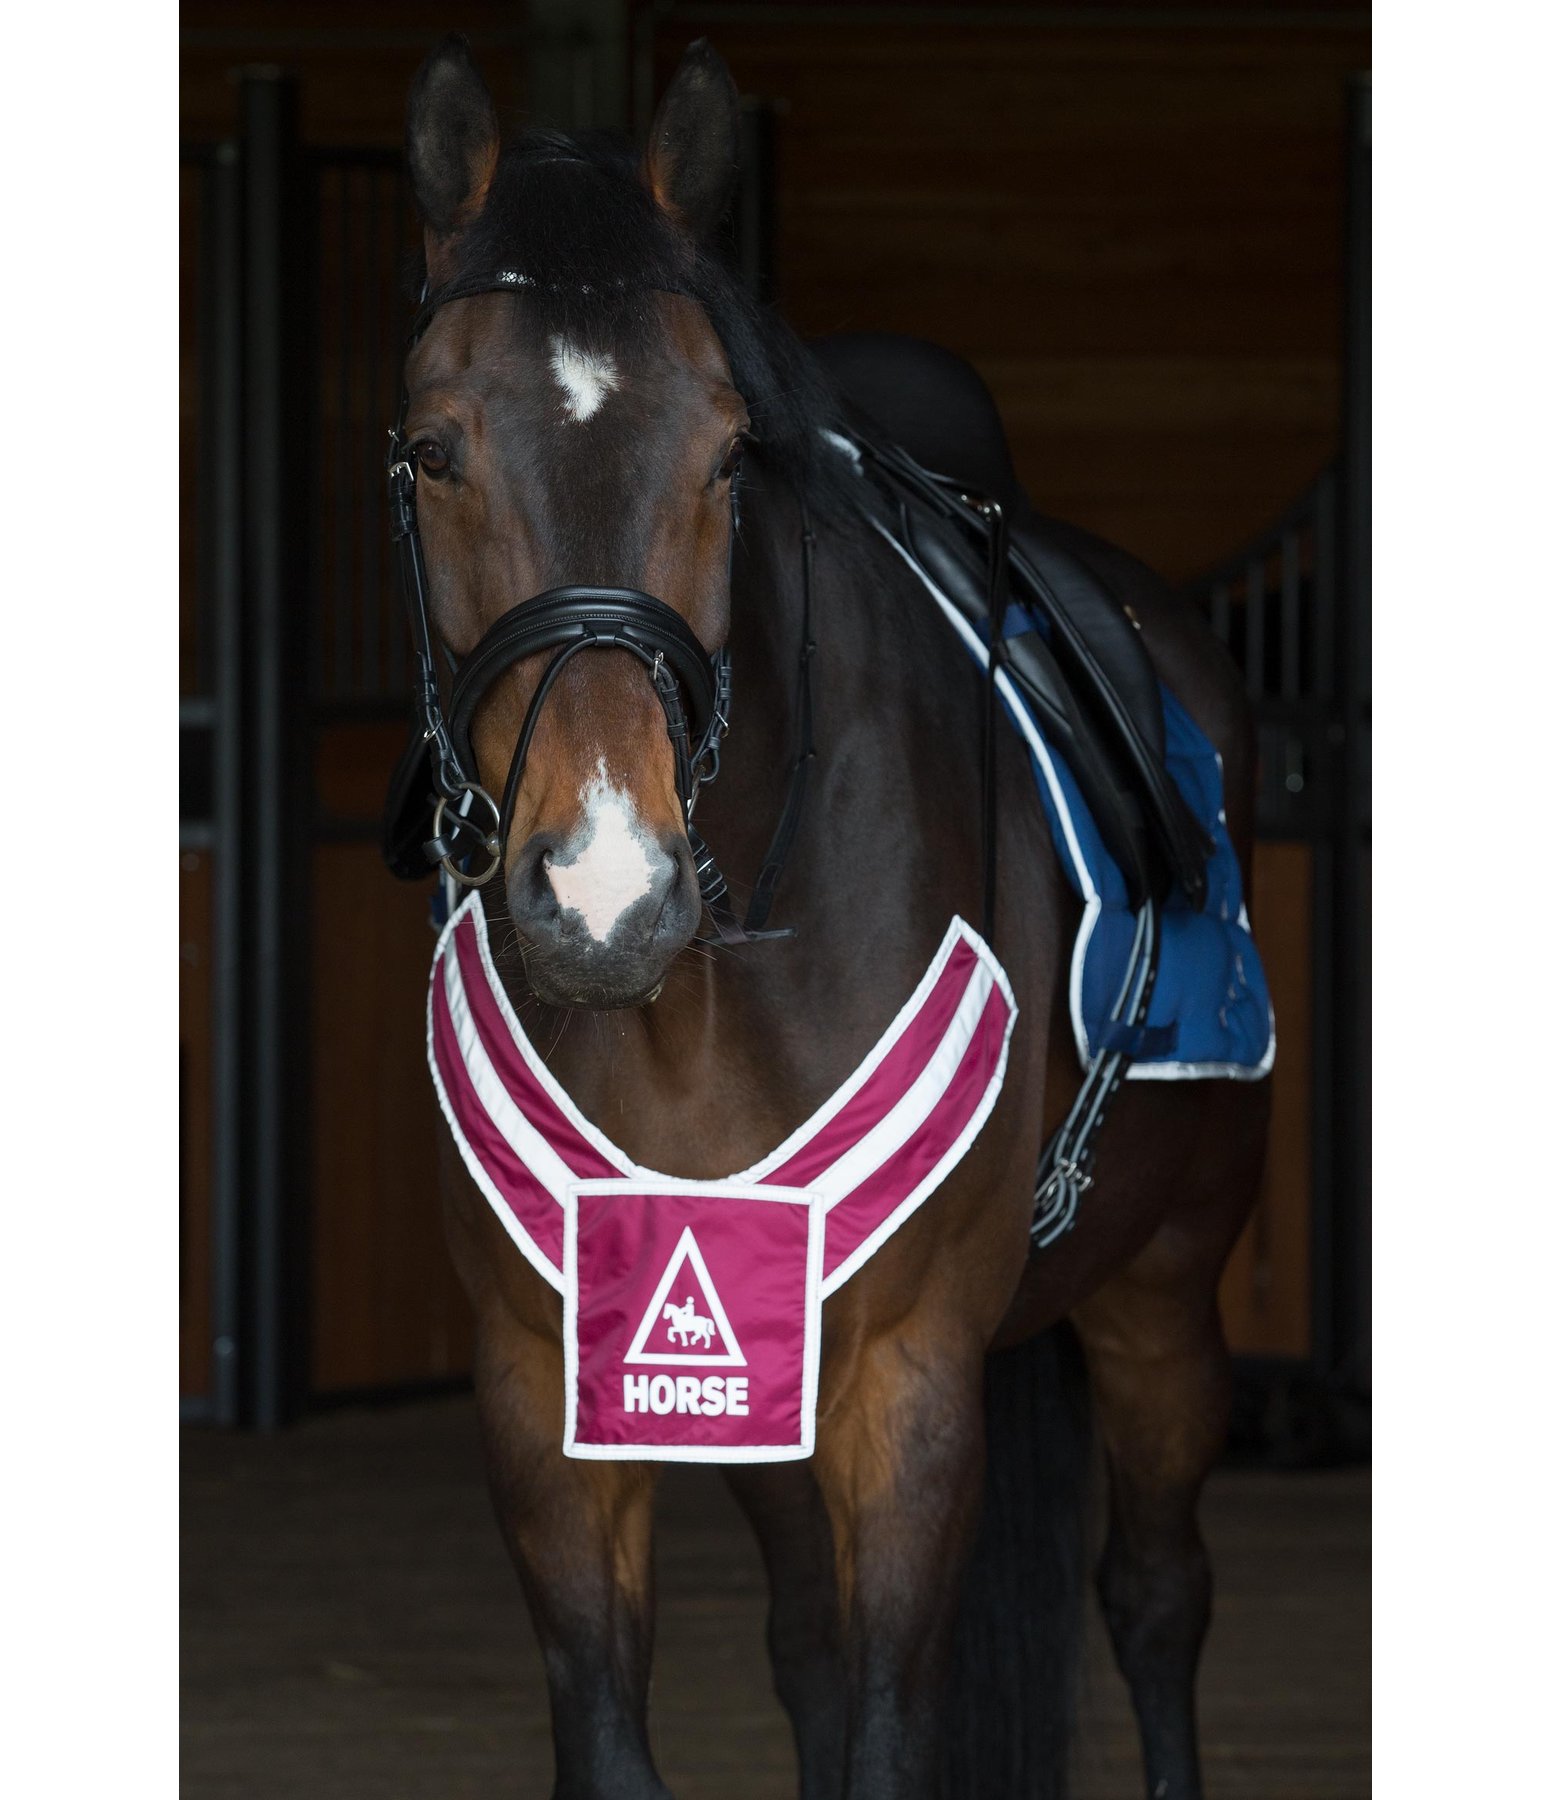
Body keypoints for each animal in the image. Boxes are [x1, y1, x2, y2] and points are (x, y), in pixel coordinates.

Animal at [390, 33, 1271, 1799]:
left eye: (729, 452)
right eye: (432, 451)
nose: (608, 895)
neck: (706, 994)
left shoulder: (908, 1382)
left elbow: (887, 1730)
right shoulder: (551, 1390)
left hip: (1162, 1293)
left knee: (1153, 1599)